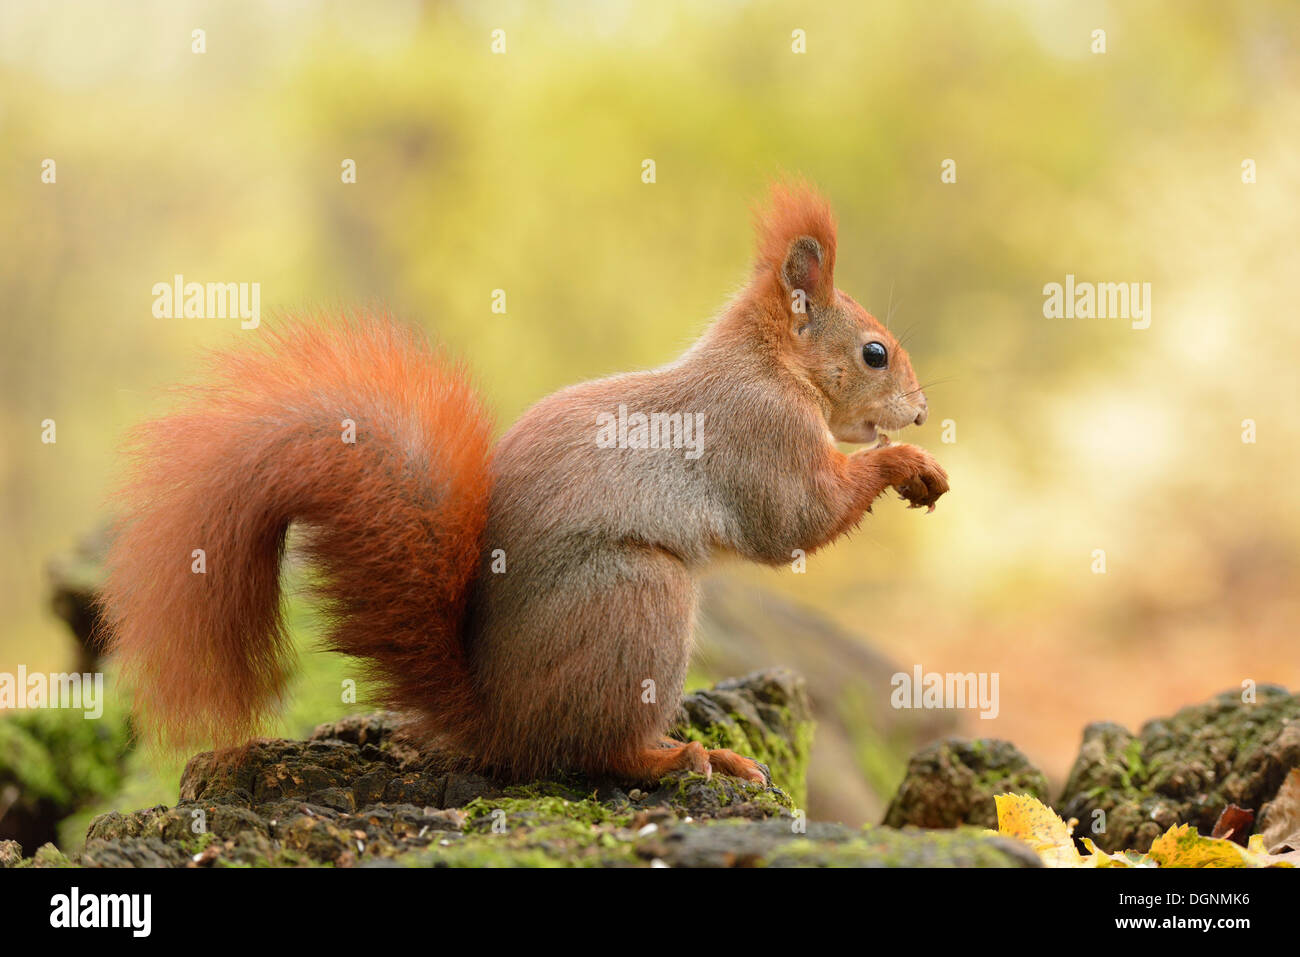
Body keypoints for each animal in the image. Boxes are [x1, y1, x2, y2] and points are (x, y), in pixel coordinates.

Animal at [99, 181, 948, 785]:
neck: (769, 363)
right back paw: (682, 755)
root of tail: (496, 718)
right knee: (599, 751)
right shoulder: (760, 434)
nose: (920, 409)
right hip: (638, 599)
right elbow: (796, 521)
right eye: (874, 353)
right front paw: (909, 466)